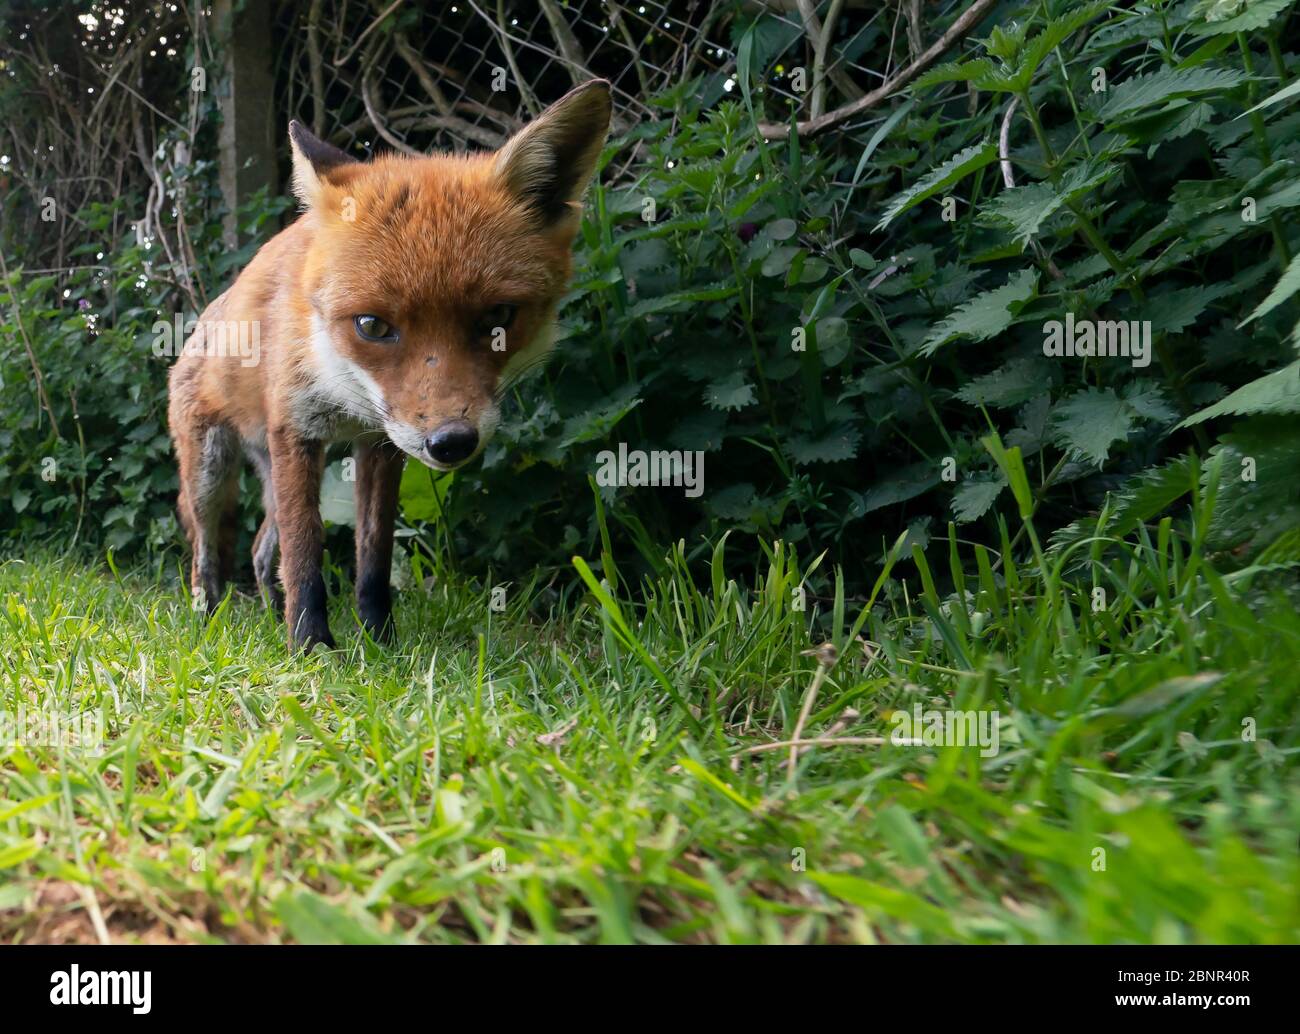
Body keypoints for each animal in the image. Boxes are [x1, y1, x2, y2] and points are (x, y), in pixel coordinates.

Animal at [167, 80, 612, 651]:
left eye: (497, 317)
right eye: (372, 326)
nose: (451, 442)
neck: (344, 391)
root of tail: (204, 316)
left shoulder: (383, 443)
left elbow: (374, 553)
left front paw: (379, 638)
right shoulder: (297, 431)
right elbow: (305, 552)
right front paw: (311, 647)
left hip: (270, 471)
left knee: (262, 549)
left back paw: (267, 615)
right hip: (210, 472)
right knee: (208, 550)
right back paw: (209, 618)